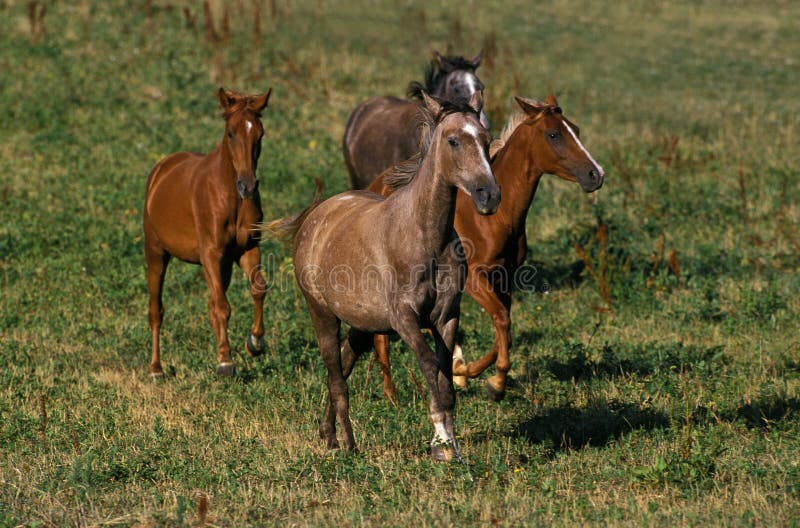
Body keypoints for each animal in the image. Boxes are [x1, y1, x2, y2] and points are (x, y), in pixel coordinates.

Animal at [143, 87, 272, 377]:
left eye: (260, 133)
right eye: (231, 133)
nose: (247, 186)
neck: (228, 196)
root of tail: (161, 169)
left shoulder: (246, 249)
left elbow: (258, 288)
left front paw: (255, 343)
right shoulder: (211, 253)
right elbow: (223, 306)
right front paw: (225, 361)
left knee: (213, 303)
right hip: (156, 253)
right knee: (156, 310)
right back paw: (156, 368)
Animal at [266, 92, 499, 460]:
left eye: (487, 140)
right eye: (453, 140)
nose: (488, 195)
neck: (425, 239)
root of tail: (315, 216)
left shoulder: (447, 317)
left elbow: (446, 376)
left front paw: (451, 446)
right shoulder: (405, 319)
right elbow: (430, 367)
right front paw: (441, 441)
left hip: (362, 326)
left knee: (344, 364)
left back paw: (327, 434)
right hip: (323, 315)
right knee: (336, 377)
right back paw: (347, 444)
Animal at [367, 93, 605, 402]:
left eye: (575, 129)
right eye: (553, 134)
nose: (595, 174)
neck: (495, 219)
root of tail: (376, 184)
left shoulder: (504, 277)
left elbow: (504, 326)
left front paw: (470, 373)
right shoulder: (473, 279)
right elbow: (502, 320)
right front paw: (492, 382)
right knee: (382, 336)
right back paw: (391, 395)